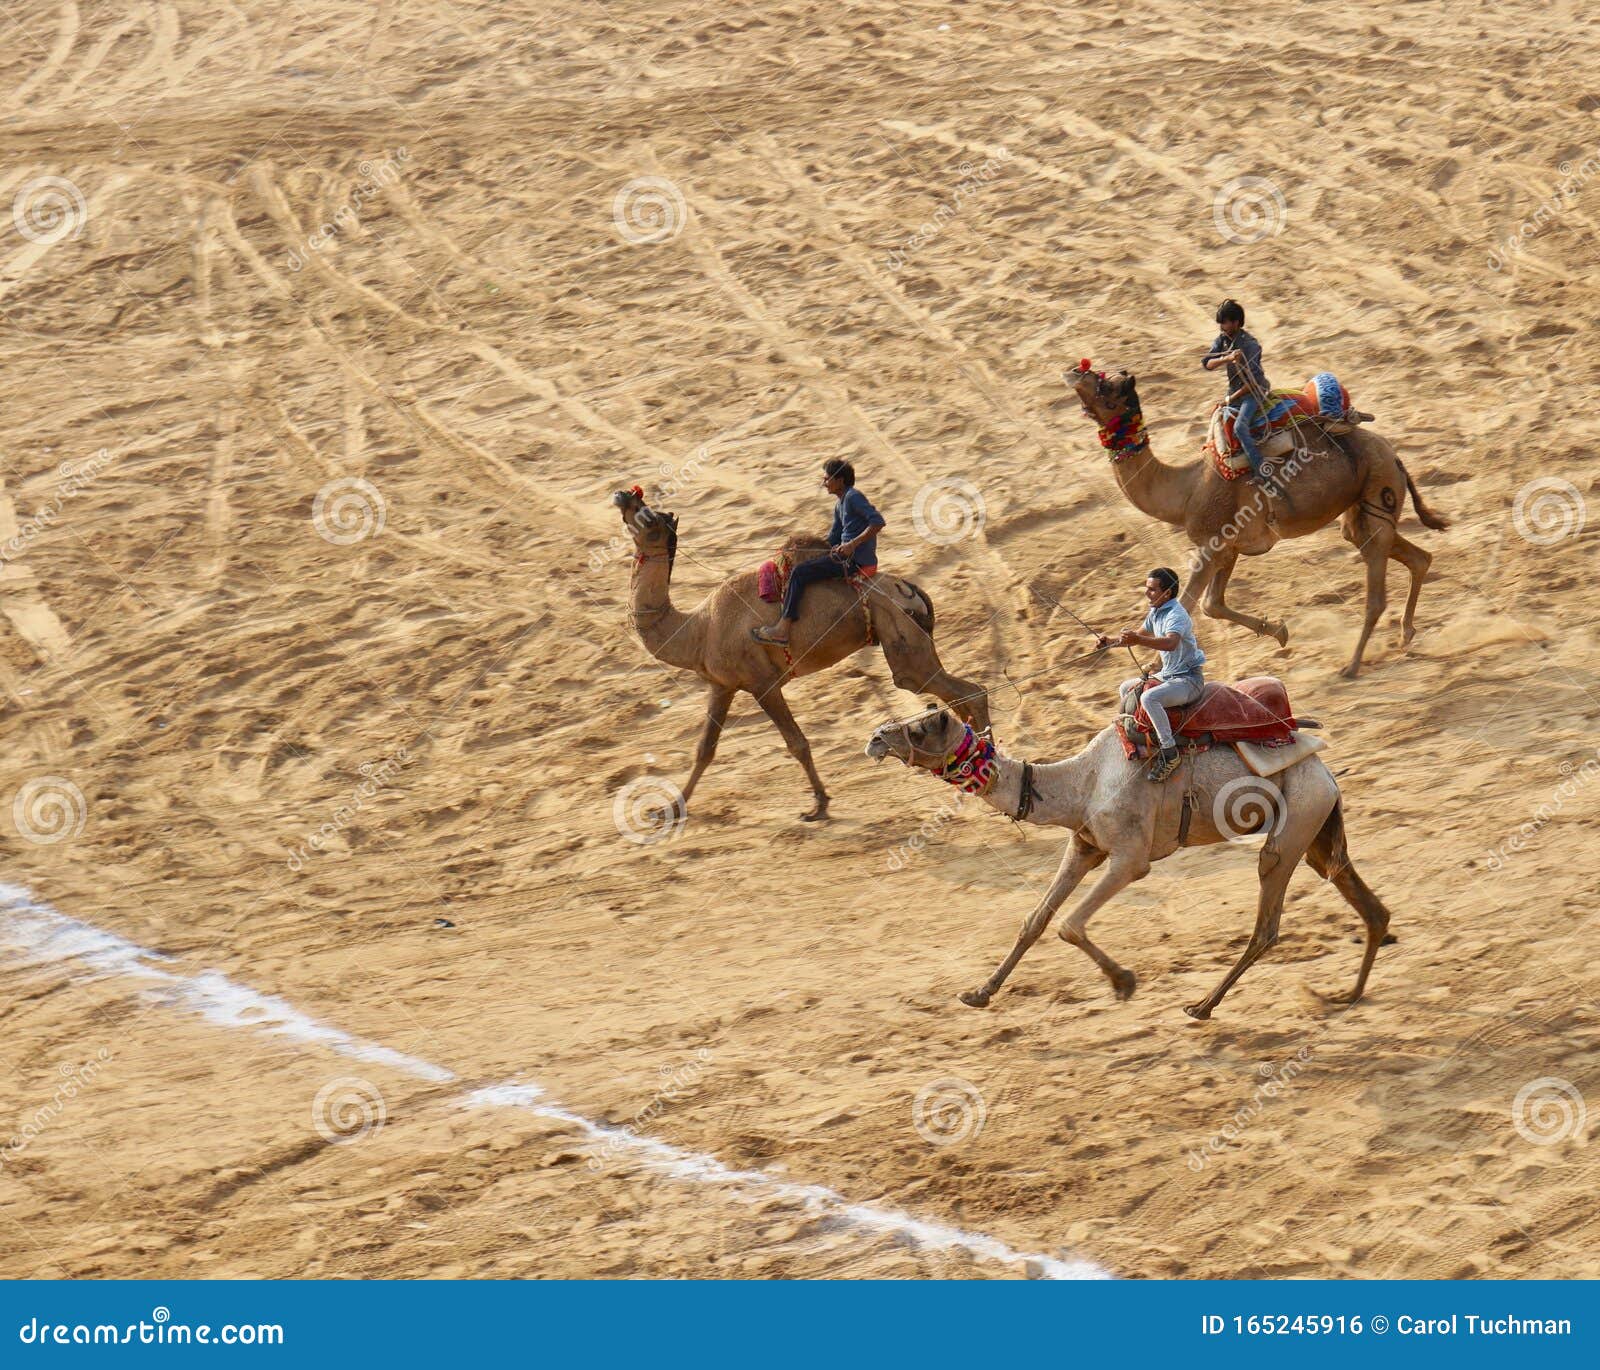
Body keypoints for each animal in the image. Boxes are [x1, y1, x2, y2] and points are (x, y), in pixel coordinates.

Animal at [612, 487, 988, 822]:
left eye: (648, 516)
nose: (621, 495)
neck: (698, 630)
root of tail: (911, 589)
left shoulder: (763, 683)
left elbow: (797, 743)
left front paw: (818, 806)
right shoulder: (721, 686)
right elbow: (705, 749)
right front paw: (668, 809)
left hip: (900, 634)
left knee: (958, 690)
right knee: (958, 695)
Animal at [865, 705, 1396, 1018]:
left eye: (919, 726)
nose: (875, 737)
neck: (1080, 783)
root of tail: (1325, 771)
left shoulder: (1130, 856)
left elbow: (1070, 925)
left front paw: (1124, 982)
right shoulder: (1084, 845)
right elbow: (1036, 920)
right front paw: (978, 993)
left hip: (1296, 819)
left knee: (1268, 912)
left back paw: (1202, 1005)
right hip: (1317, 828)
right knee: (1361, 896)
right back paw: (1349, 994)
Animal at [1070, 366, 1449, 678]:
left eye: (1105, 386)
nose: (1074, 371)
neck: (1187, 489)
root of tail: (1395, 455)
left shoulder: (1211, 545)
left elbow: (1190, 605)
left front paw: (1153, 668)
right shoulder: (1228, 547)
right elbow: (1212, 604)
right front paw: (1280, 631)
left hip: (1378, 487)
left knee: (1377, 593)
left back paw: (1352, 666)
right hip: (1360, 509)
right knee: (1416, 556)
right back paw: (1406, 635)